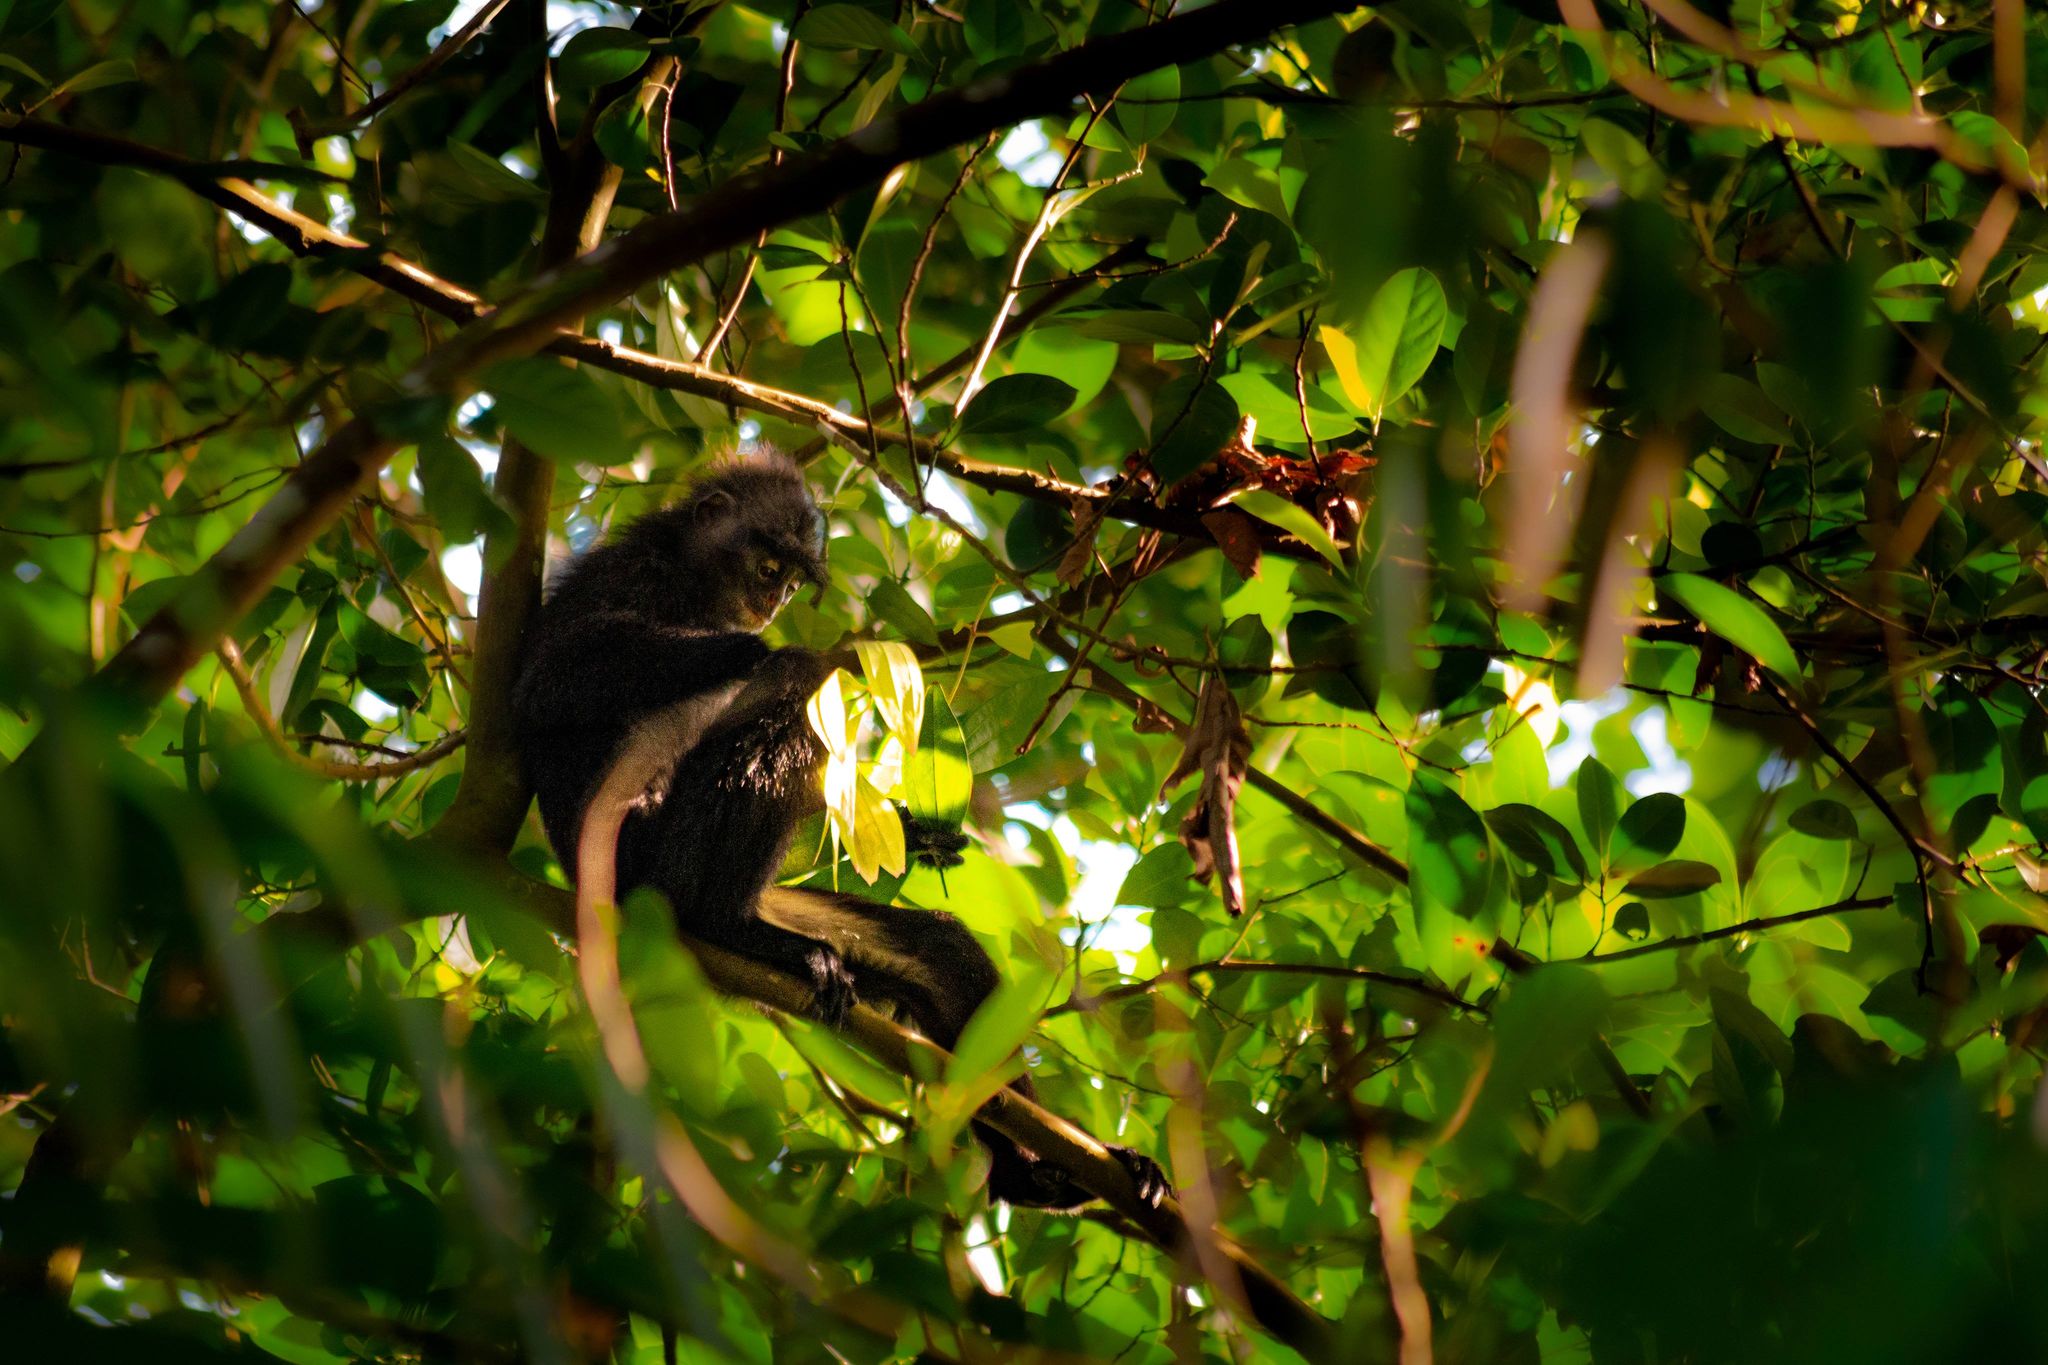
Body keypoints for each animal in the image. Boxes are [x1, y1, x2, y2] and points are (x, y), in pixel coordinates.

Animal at [513, 453, 1168, 1210]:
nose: (773, 604)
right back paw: (725, 922)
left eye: (793, 581)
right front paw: (771, 649)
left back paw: (1032, 1171)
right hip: (652, 856)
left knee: (943, 953)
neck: (694, 576)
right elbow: (551, 680)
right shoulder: (632, 568)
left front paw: (917, 833)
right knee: (790, 704)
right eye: (770, 567)